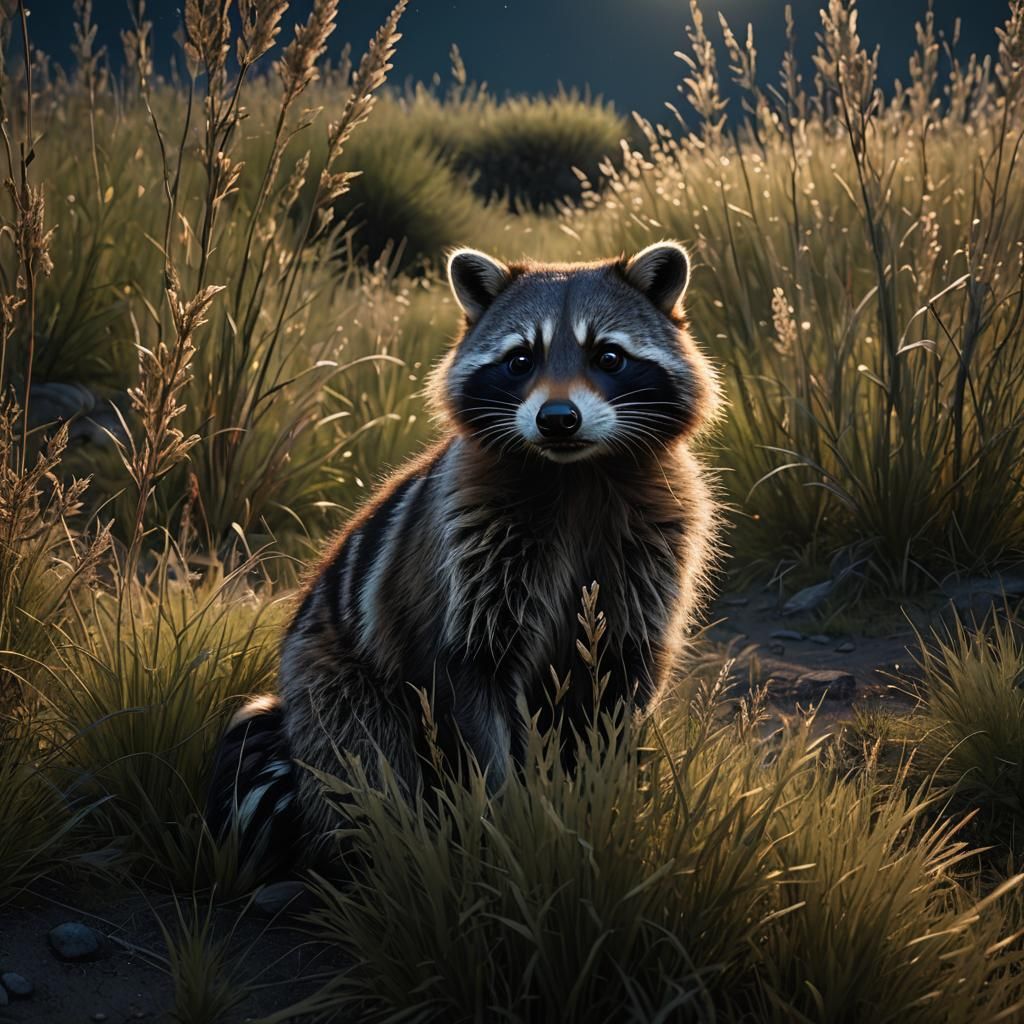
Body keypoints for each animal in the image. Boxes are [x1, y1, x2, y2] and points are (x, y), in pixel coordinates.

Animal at [206, 241, 721, 866]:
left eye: (609, 356)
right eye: (520, 360)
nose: (558, 419)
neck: (575, 473)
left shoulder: (653, 550)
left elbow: (618, 690)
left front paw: (604, 808)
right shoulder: (463, 556)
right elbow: (468, 687)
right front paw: (506, 825)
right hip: (334, 680)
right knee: (364, 760)